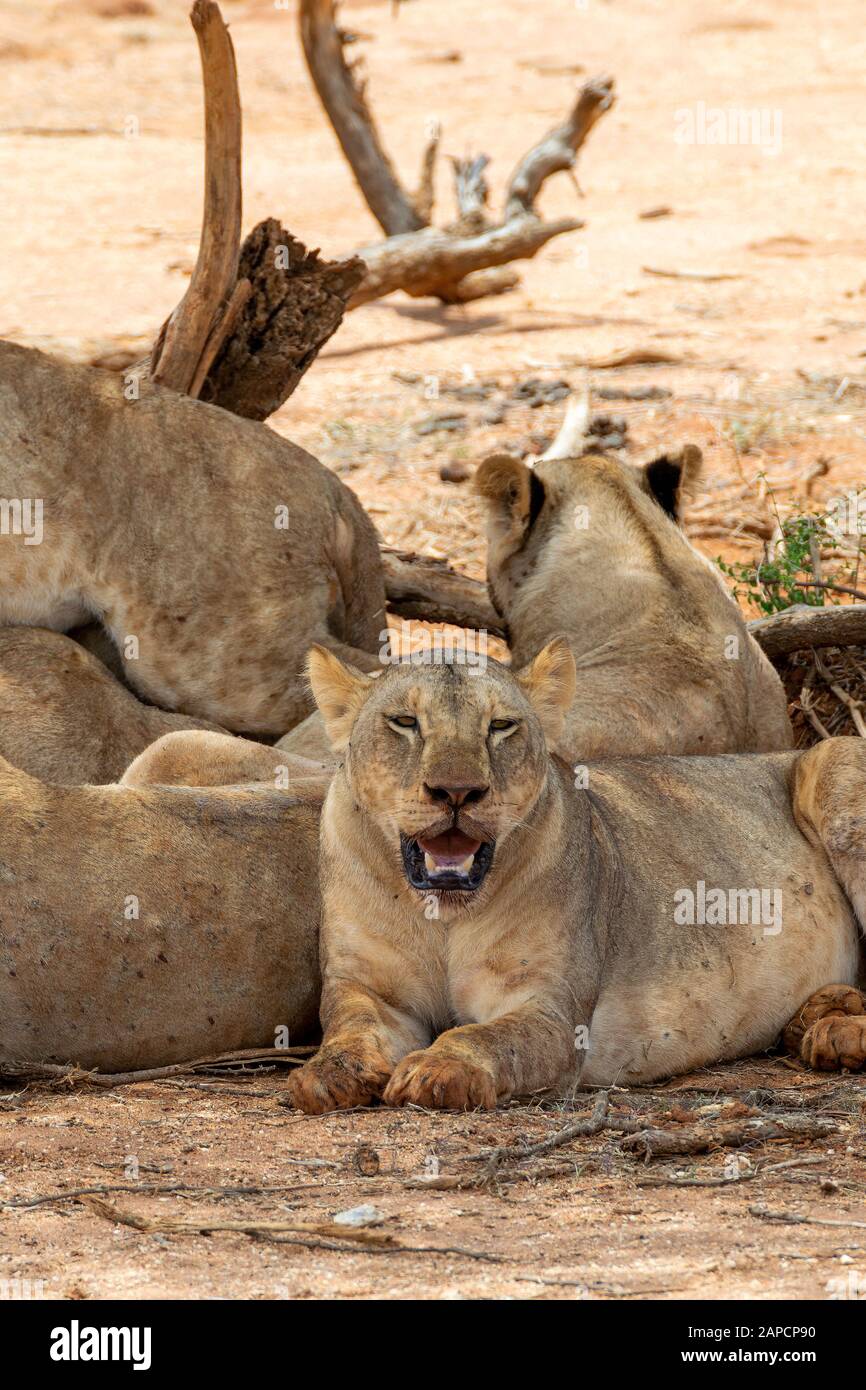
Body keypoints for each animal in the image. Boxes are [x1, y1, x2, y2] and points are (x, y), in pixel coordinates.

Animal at [286, 644, 864, 1113]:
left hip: (834, 761)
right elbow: (350, 1027)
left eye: (500, 726)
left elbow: (487, 1037)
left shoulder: (553, 1010)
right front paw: (328, 1074)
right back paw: (818, 1013)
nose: (456, 791)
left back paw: (836, 1034)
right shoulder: (369, 988)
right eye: (405, 721)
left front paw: (438, 1068)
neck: (442, 915)